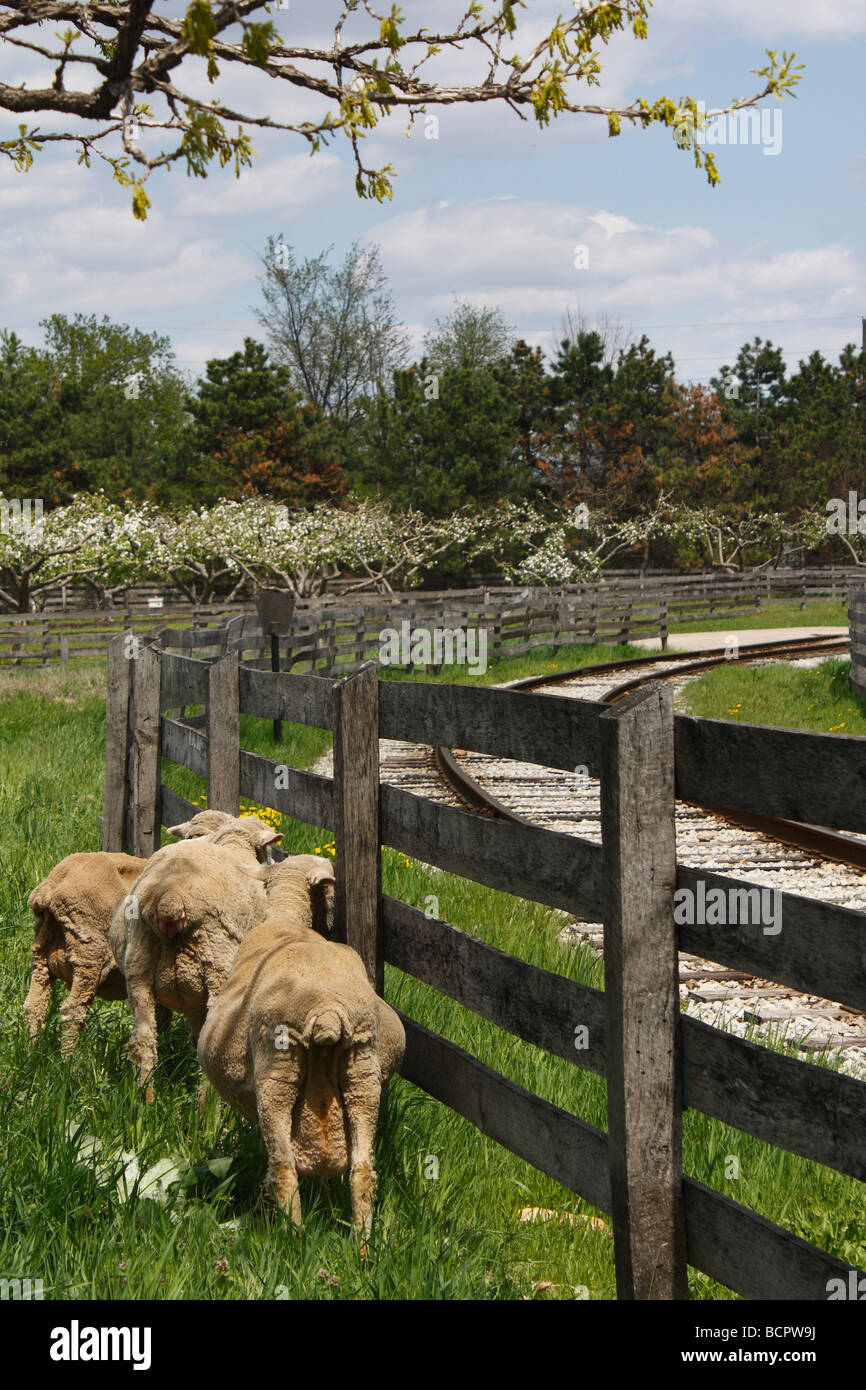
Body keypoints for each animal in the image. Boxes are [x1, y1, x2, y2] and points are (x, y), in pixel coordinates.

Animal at [23, 851, 148, 1056]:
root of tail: (53, 885)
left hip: (41, 953)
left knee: (34, 1006)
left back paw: (32, 1052)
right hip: (89, 952)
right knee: (72, 1011)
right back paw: (71, 1061)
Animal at [197, 856, 405, 1252]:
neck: (286, 917)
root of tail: (327, 1011)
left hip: (277, 1077)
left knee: (283, 1166)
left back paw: (294, 1242)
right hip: (362, 1076)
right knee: (362, 1169)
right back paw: (363, 1249)